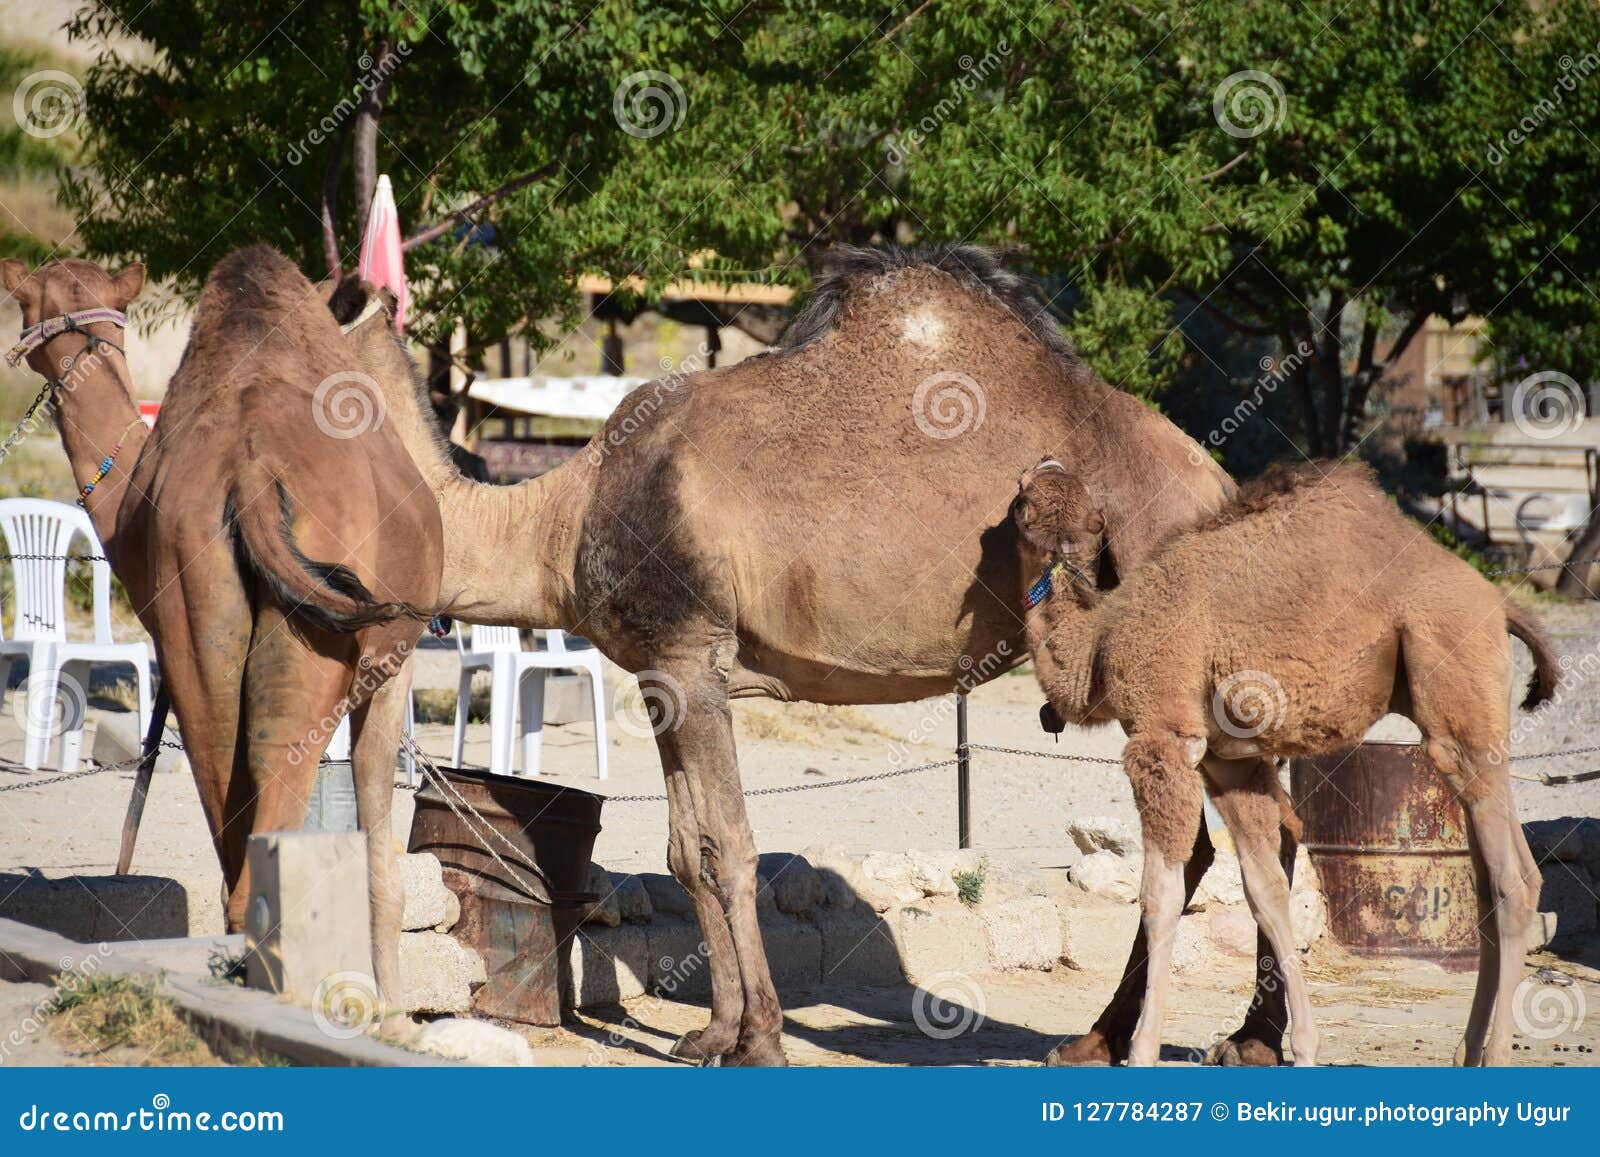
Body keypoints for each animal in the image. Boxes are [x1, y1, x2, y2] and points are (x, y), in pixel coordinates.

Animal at [2, 254, 443, 1003]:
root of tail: (252, 474)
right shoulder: (392, 667)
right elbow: (380, 862)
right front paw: (389, 1001)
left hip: (197, 616)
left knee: (232, 830)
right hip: (309, 643)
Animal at [1011, 457, 1560, 1065]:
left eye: (1017, 502)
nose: (1044, 462)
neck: (1099, 644)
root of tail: (1501, 605)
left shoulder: (1163, 741)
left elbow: (1161, 895)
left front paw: (1143, 1050)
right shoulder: (1229, 765)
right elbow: (1266, 890)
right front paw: (1303, 1045)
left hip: (1459, 701)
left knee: (1516, 882)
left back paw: (1496, 1054)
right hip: (1458, 729)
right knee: (1489, 883)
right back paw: (1465, 1053)